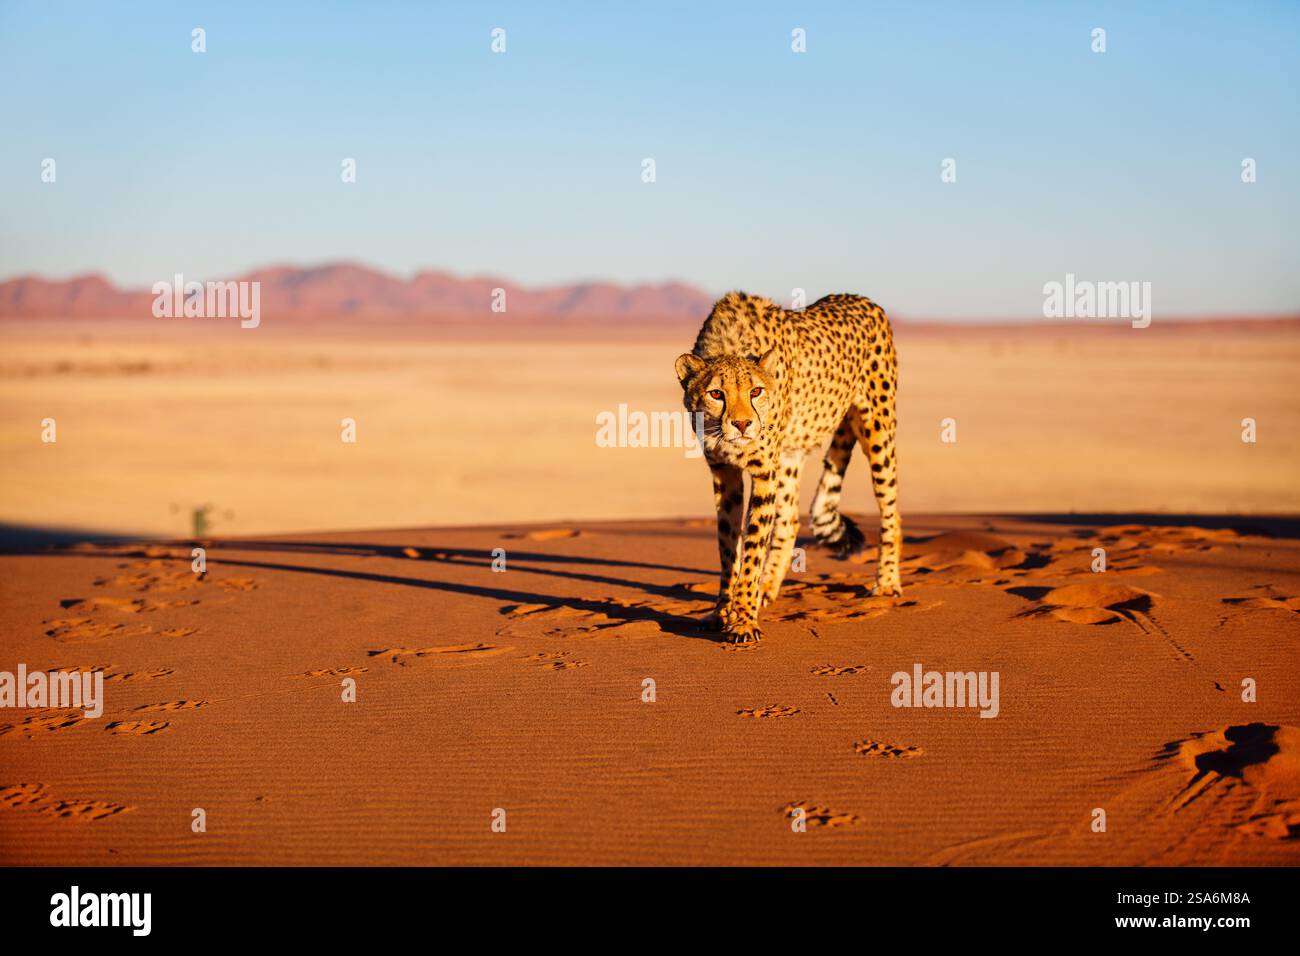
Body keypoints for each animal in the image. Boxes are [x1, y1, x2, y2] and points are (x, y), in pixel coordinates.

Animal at [674, 290, 901, 644]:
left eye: (756, 391)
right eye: (716, 393)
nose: (742, 424)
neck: (731, 344)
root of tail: (861, 298)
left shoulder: (763, 471)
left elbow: (753, 546)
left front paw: (743, 619)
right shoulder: (724, 473)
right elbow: (728, 547)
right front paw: (722, 611)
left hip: (877, 430)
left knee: (891, 510)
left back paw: (887, 582)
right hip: (790, 457)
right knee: (790, 519)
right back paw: (767, 588)